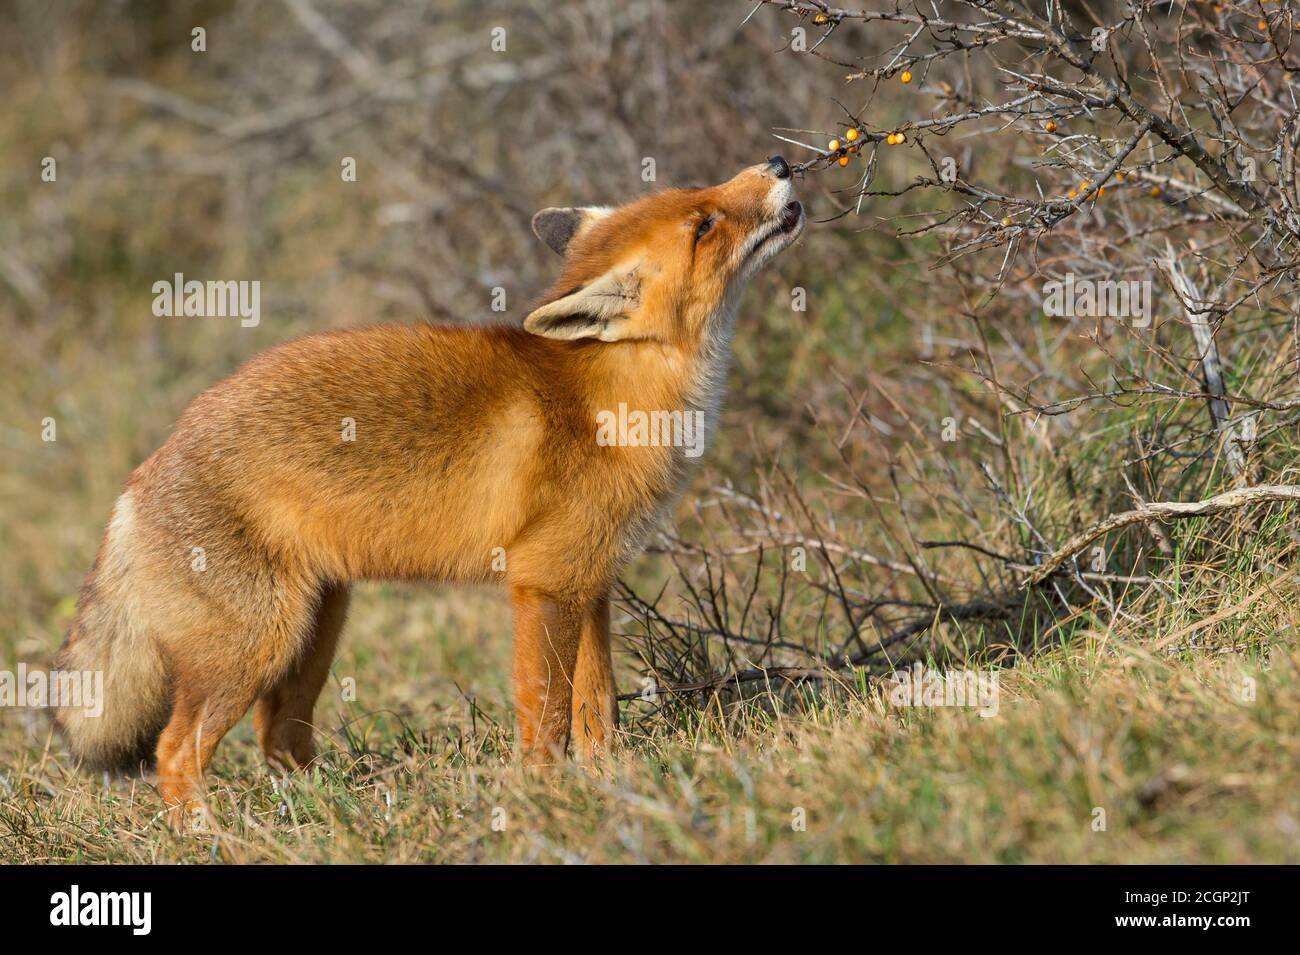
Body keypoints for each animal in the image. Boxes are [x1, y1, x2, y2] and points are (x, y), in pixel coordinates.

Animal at [53, 156, 806, 809]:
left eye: (697, 191)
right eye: (704, 223)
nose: (777, 163)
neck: (615, 402)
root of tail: (148, 466)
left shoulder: (588, 582)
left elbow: (598, 711)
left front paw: (611, 783)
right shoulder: (543, 582)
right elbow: (547, 716)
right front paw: (546, 797)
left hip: (313, 633)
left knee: (278, 738)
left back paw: (323, 813)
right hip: (256, 644)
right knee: (175, 752)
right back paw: (214, 833)